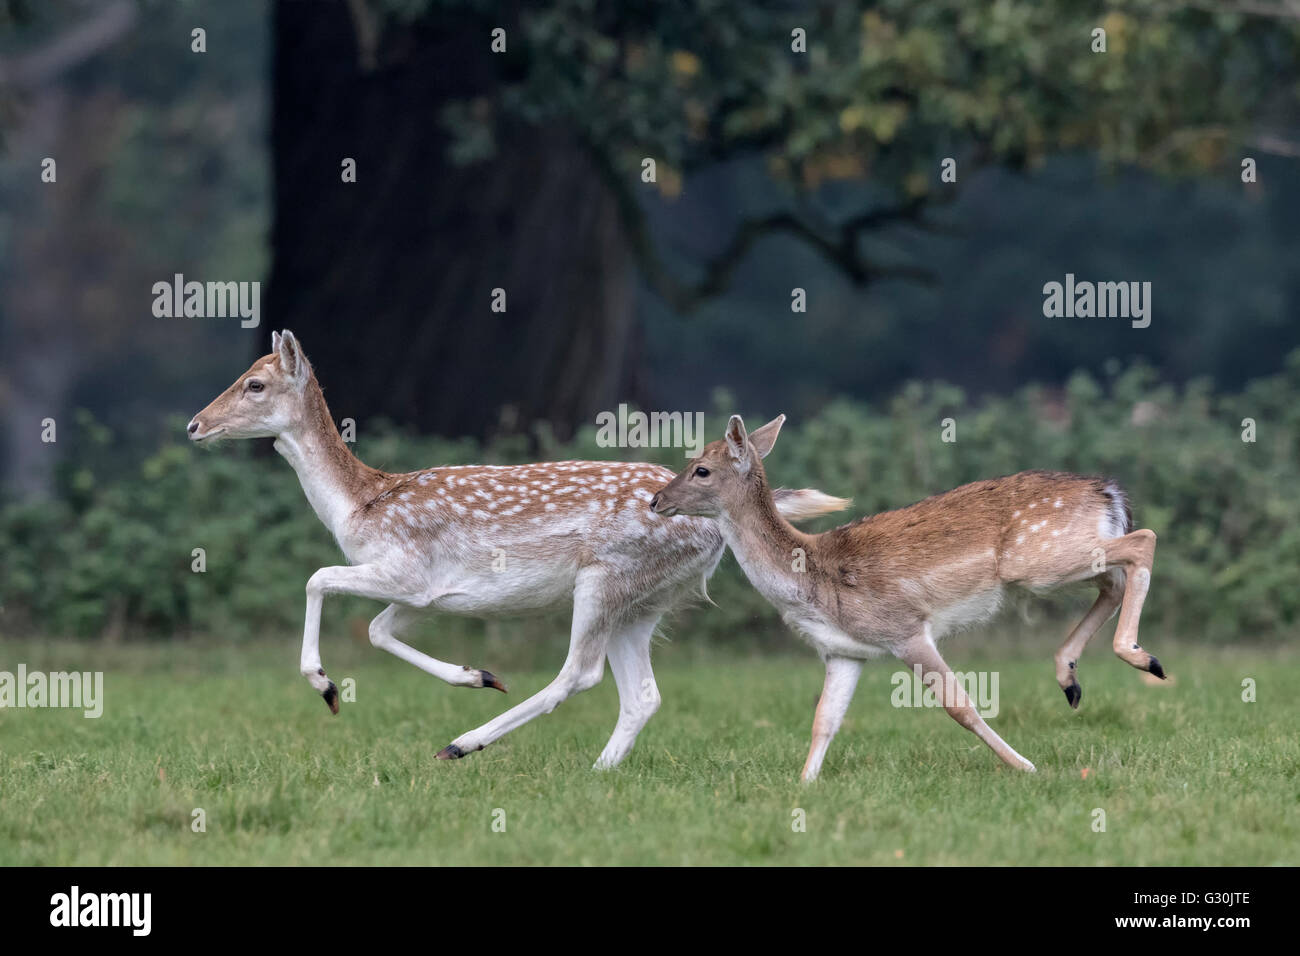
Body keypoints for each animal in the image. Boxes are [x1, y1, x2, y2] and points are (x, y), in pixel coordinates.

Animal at [186, 331, 848, 769]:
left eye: (255, 383)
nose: (195, 424)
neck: (362, 504)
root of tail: (716, 523)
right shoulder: (426, 593)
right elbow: (376, 630)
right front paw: (478, 674)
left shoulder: (408, 570)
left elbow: (318, 578)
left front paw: (325, 686)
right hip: (643, 602)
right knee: (643, 694)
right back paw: (598, 771)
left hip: (605, 578)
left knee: (578, 673)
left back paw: (462, 744)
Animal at [649, 414, 1164, 781]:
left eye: (701, 469)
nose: (656, 500)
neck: (811, 580)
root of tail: (1108, 492)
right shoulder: (844, 651)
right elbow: (824, 719)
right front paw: (804, 784)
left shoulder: (904, 627)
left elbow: (960, 704)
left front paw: (1026, 766)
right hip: (1055, 563)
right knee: (1114, 580)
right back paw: (1072, 677)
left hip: (1038, 561)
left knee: (1143, 541)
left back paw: (1141, 658)